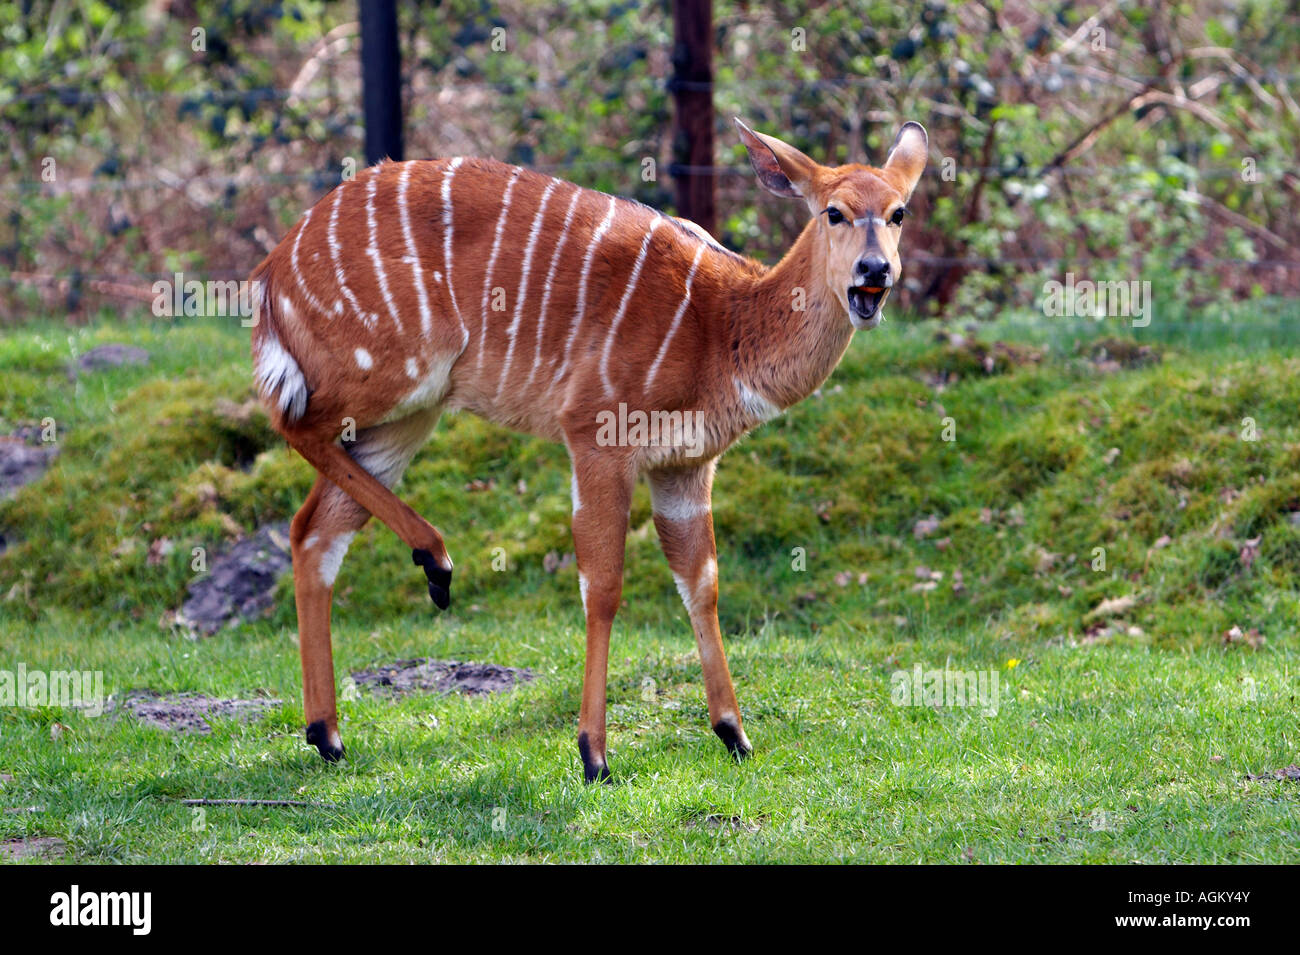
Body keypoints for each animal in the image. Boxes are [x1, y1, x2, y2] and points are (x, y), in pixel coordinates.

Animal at [250, 118, 928, 781]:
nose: (874, 271)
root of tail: (272, 270)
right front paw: (594, 755)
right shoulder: (596, 436)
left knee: (314, 529)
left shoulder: (686, 466)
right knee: (292, 424)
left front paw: (735, 734)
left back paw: (328, 735)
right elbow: (602, 587)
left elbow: (702, 583)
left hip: (412, 414)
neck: (721, 327)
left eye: (899, 212)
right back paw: (437, 563)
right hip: (393, 371)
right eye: (834, 212)